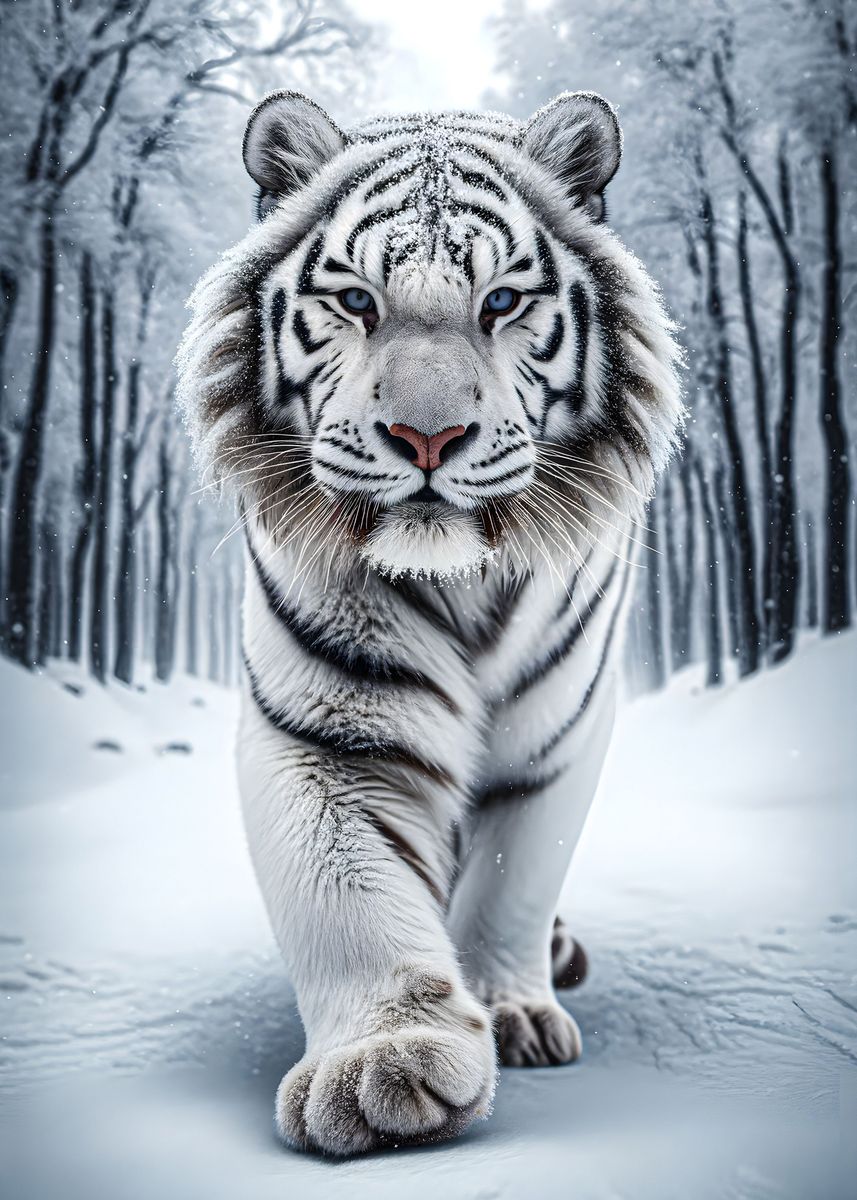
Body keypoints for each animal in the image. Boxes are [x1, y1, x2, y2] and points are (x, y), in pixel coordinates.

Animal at [176, 89, 683, 1157]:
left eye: (500, 303)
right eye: (357, 303)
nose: (426, 437)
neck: (459, 583)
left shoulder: (558, 731)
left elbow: (510, 873)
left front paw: (511, 1009)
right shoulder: (325, 730)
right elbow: (347, 894)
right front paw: (388, 1064)